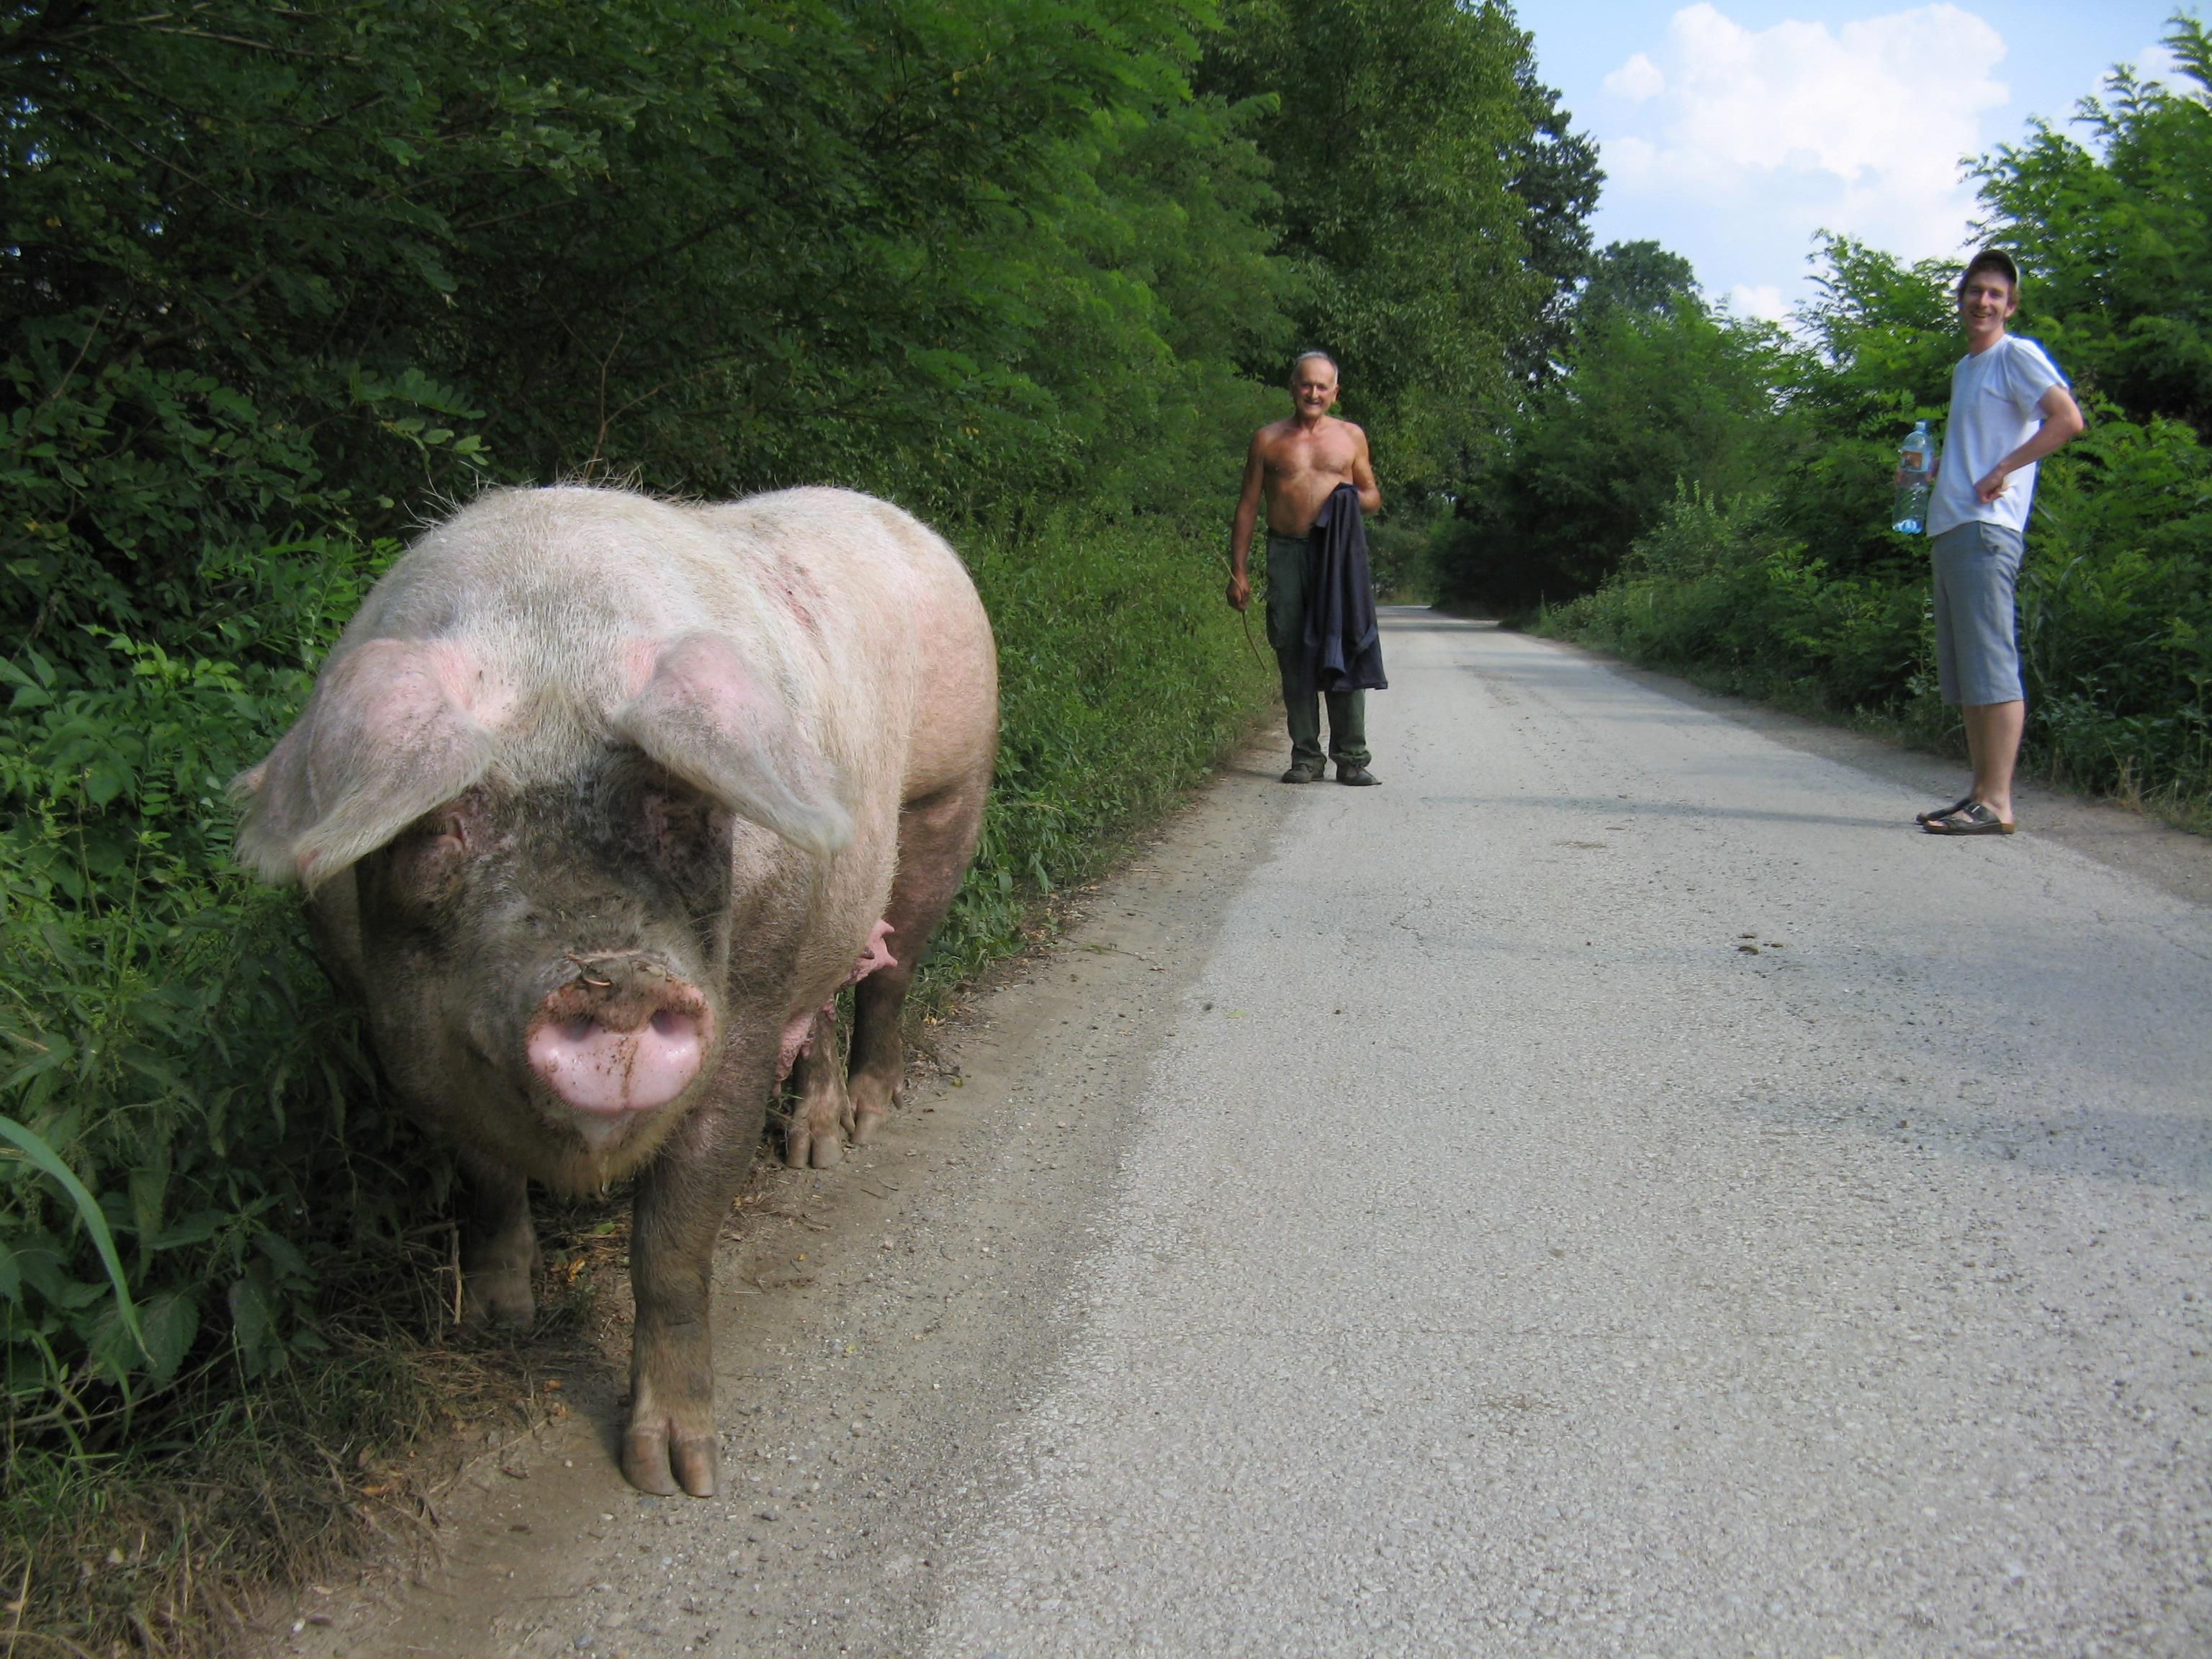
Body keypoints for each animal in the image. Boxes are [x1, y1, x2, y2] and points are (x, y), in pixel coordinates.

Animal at [231, 485, 997, 1497]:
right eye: (443, 823)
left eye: (676, 802)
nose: (617, 976)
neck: (549, 633)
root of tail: (898, 520)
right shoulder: (398, 1031)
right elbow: (483, 1174)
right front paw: (499, 1320)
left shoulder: (745, 1005)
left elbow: (673, 1239)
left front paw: (677, 1475)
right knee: (832, 991)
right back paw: (815, 1149)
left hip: (953, 790)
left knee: (892, 970)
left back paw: (869, 1123)